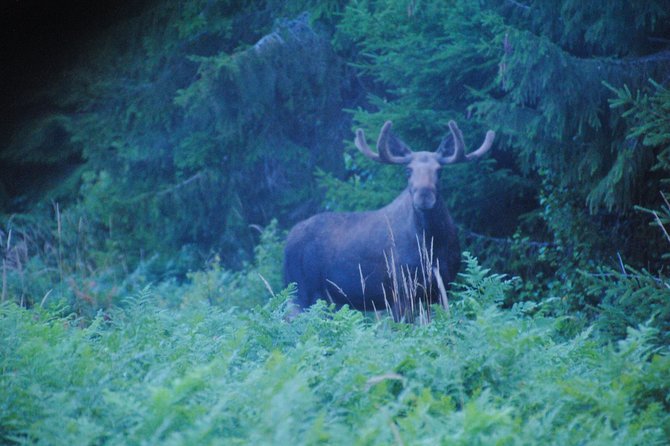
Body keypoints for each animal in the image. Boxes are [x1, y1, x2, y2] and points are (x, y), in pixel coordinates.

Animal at [283, 120, 495, 321]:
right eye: (408, 170)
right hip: (300, 291)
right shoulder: (400, 291)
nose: (424, 195)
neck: (432, 242)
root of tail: (288, 240)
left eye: (439, 170)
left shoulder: (441, 287)